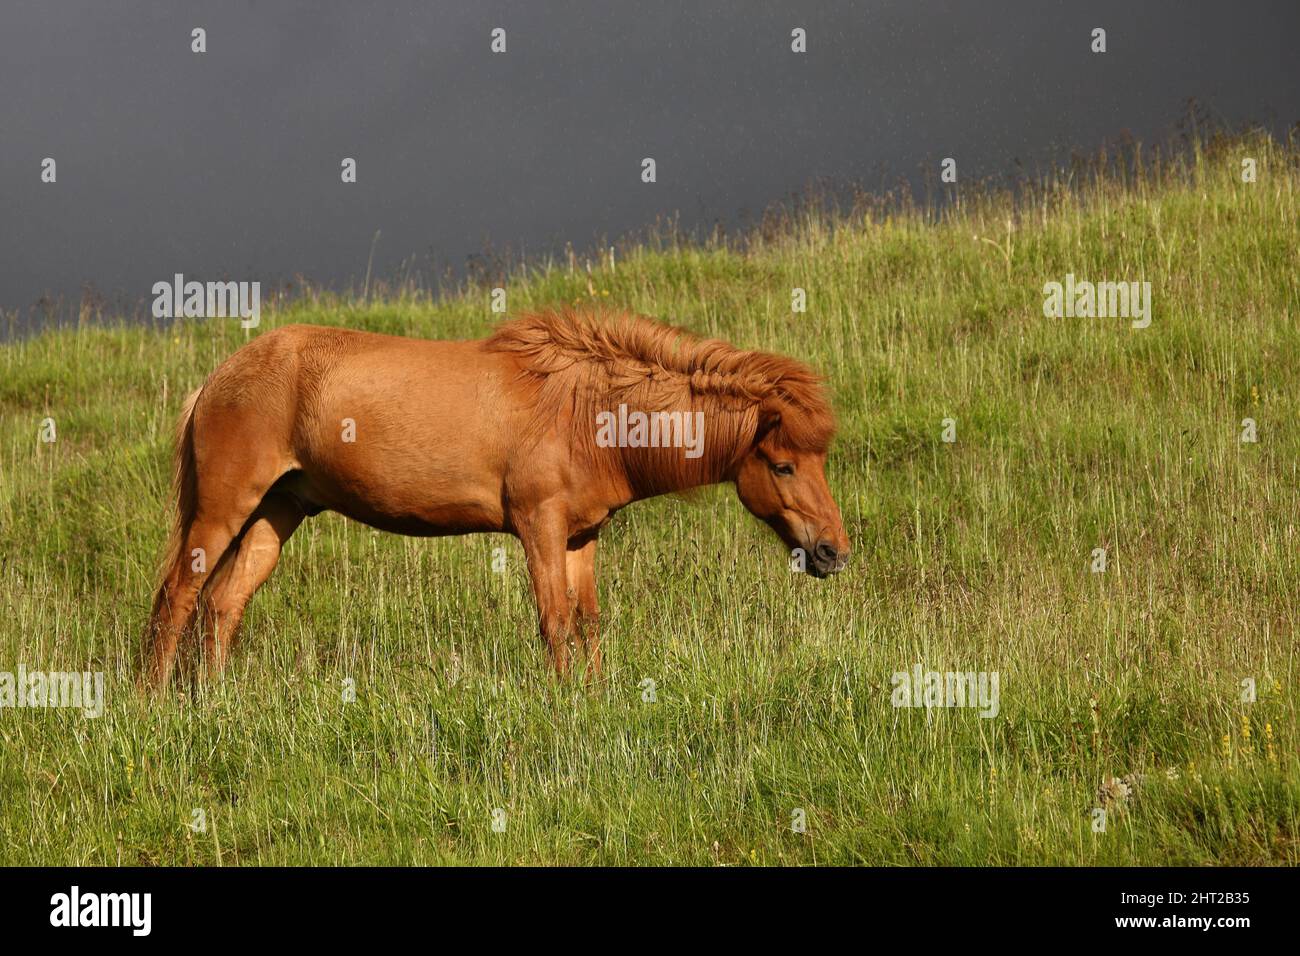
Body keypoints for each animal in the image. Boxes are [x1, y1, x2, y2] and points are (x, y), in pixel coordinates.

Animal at [141, 307, 851, 688]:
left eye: (819, 459)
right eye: (784, 465)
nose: (833, 552)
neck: (585, 413)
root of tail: (218, 377)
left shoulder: (580, 535)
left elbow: (588, 619)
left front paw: (595, 697)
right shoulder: (538, 526)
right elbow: (554, 619)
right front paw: (565, 703)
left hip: (277, 511)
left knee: (223, 604)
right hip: (224, 507)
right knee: (178, 595)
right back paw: (154, 705)